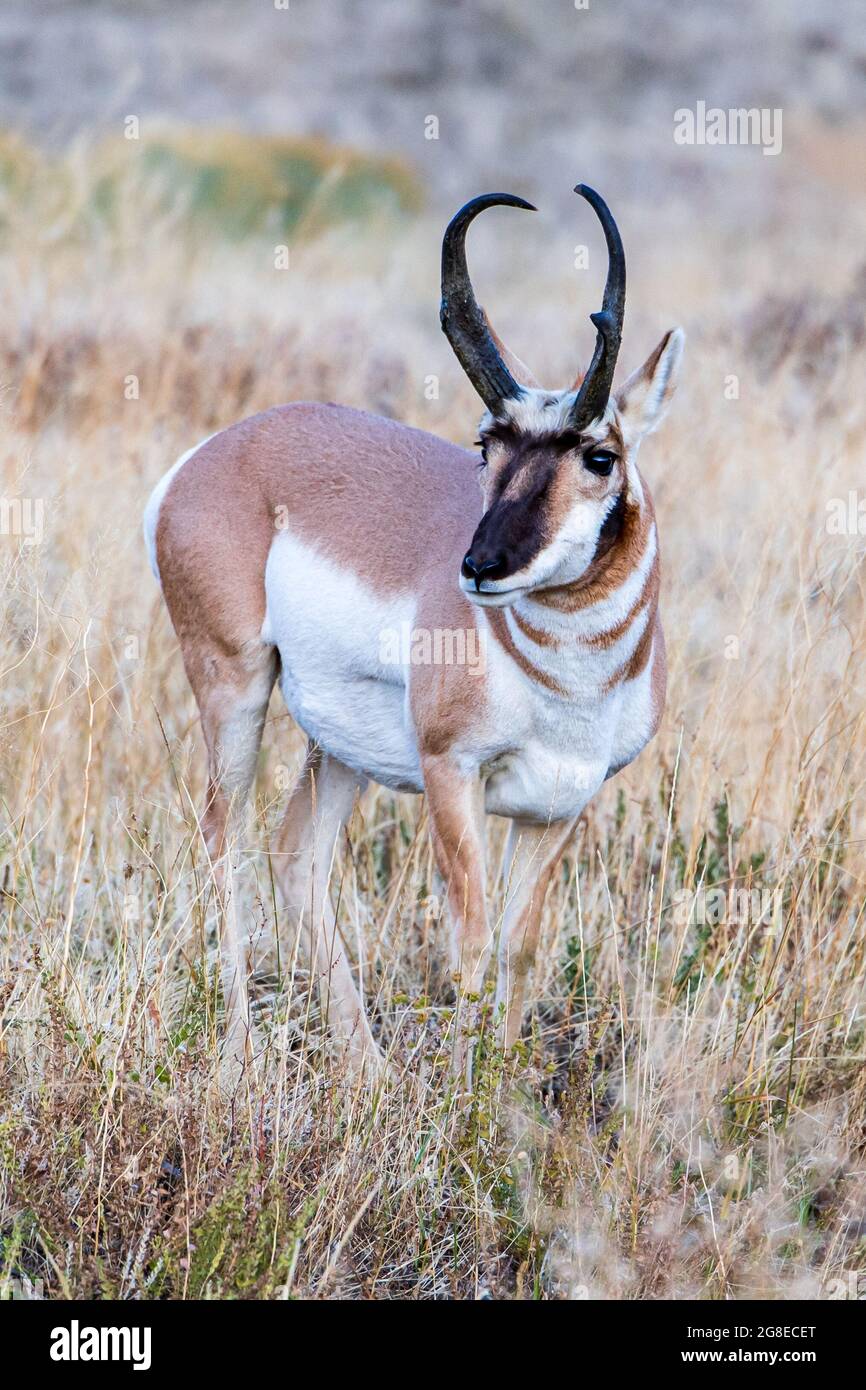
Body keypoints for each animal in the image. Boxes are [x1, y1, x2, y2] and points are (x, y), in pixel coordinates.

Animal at [144, 184, 684, 1077]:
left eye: (599, 455)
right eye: (487, 443)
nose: (480, 565)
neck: (567, 677)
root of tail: (213, 454)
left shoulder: (560, 808)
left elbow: (519, 951)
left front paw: (499, 1100)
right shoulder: (450, 775)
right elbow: (469, 947)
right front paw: (461, 1100)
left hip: (342, 748)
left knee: (298, 856)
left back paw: (365, 1070)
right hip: (237, 690)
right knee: (224, 836)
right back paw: (244, 1060)